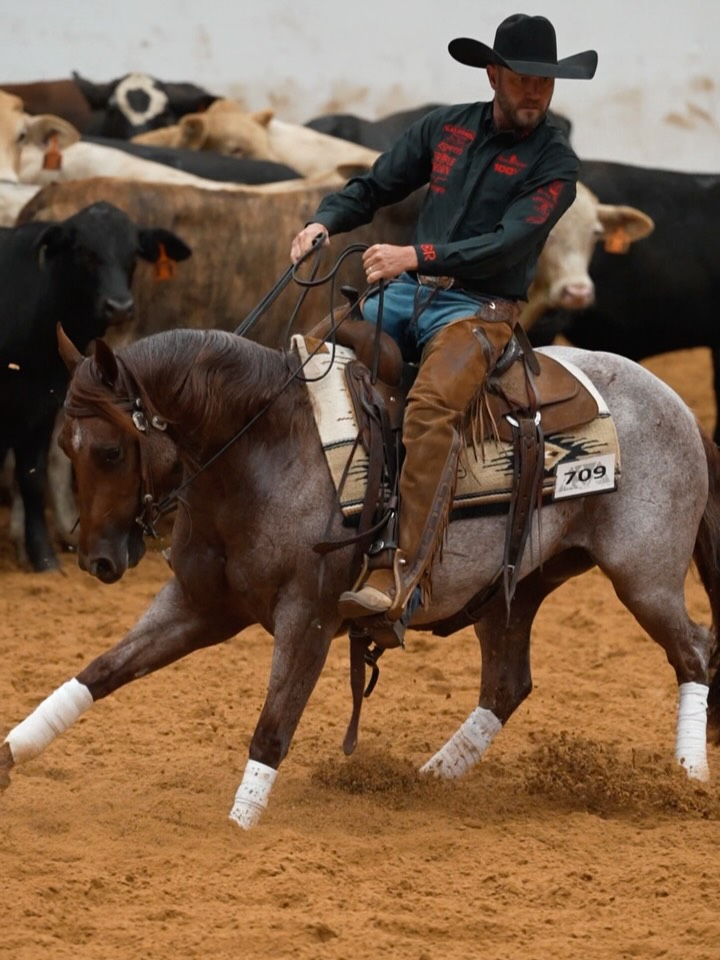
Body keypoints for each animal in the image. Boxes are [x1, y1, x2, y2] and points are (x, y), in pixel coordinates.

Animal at [2, 325, 720, 831]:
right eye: (63, 448)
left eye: (109, 451)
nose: (96, 559)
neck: (265, 450)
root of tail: (681, 408)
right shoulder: (199, 604)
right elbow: (101, 671)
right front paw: (9, 756)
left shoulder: (309, 617)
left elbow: (273, 725)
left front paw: (238, 828)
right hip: (514, 590)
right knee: (508, 683)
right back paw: (431, 775)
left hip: (645, 577)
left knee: (694, 652)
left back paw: (686, 777)